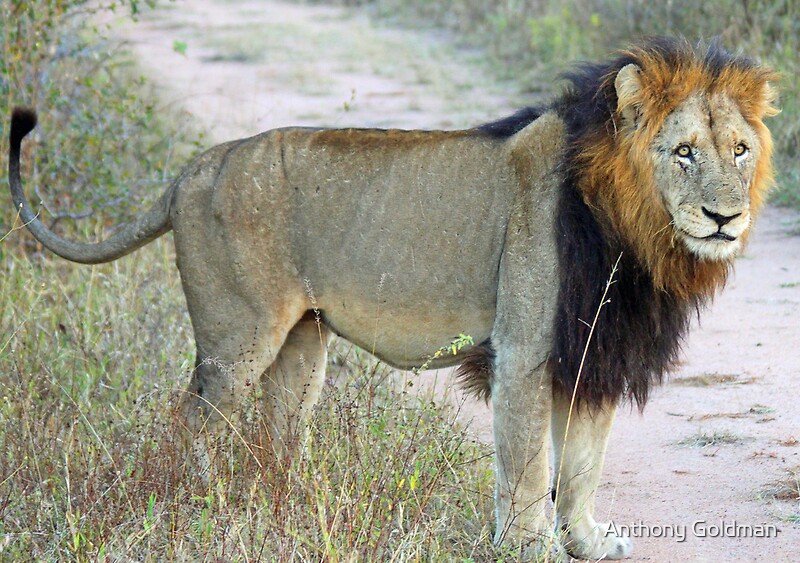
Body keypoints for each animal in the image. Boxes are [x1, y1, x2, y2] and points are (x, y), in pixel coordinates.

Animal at [8, 37, 777, 559]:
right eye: (683, 151)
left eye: (739, 150)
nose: (724, 218)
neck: (635, 235)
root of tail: (191, 170)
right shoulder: (526, 348)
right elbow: (529, 467)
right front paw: (526, 547)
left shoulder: (594, 347)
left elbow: (584, 461)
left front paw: (586, 539)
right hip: (237, 341)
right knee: (192, 420)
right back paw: (200, 501)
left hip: (302, 347)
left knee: (275, 435)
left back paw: (289, 503)